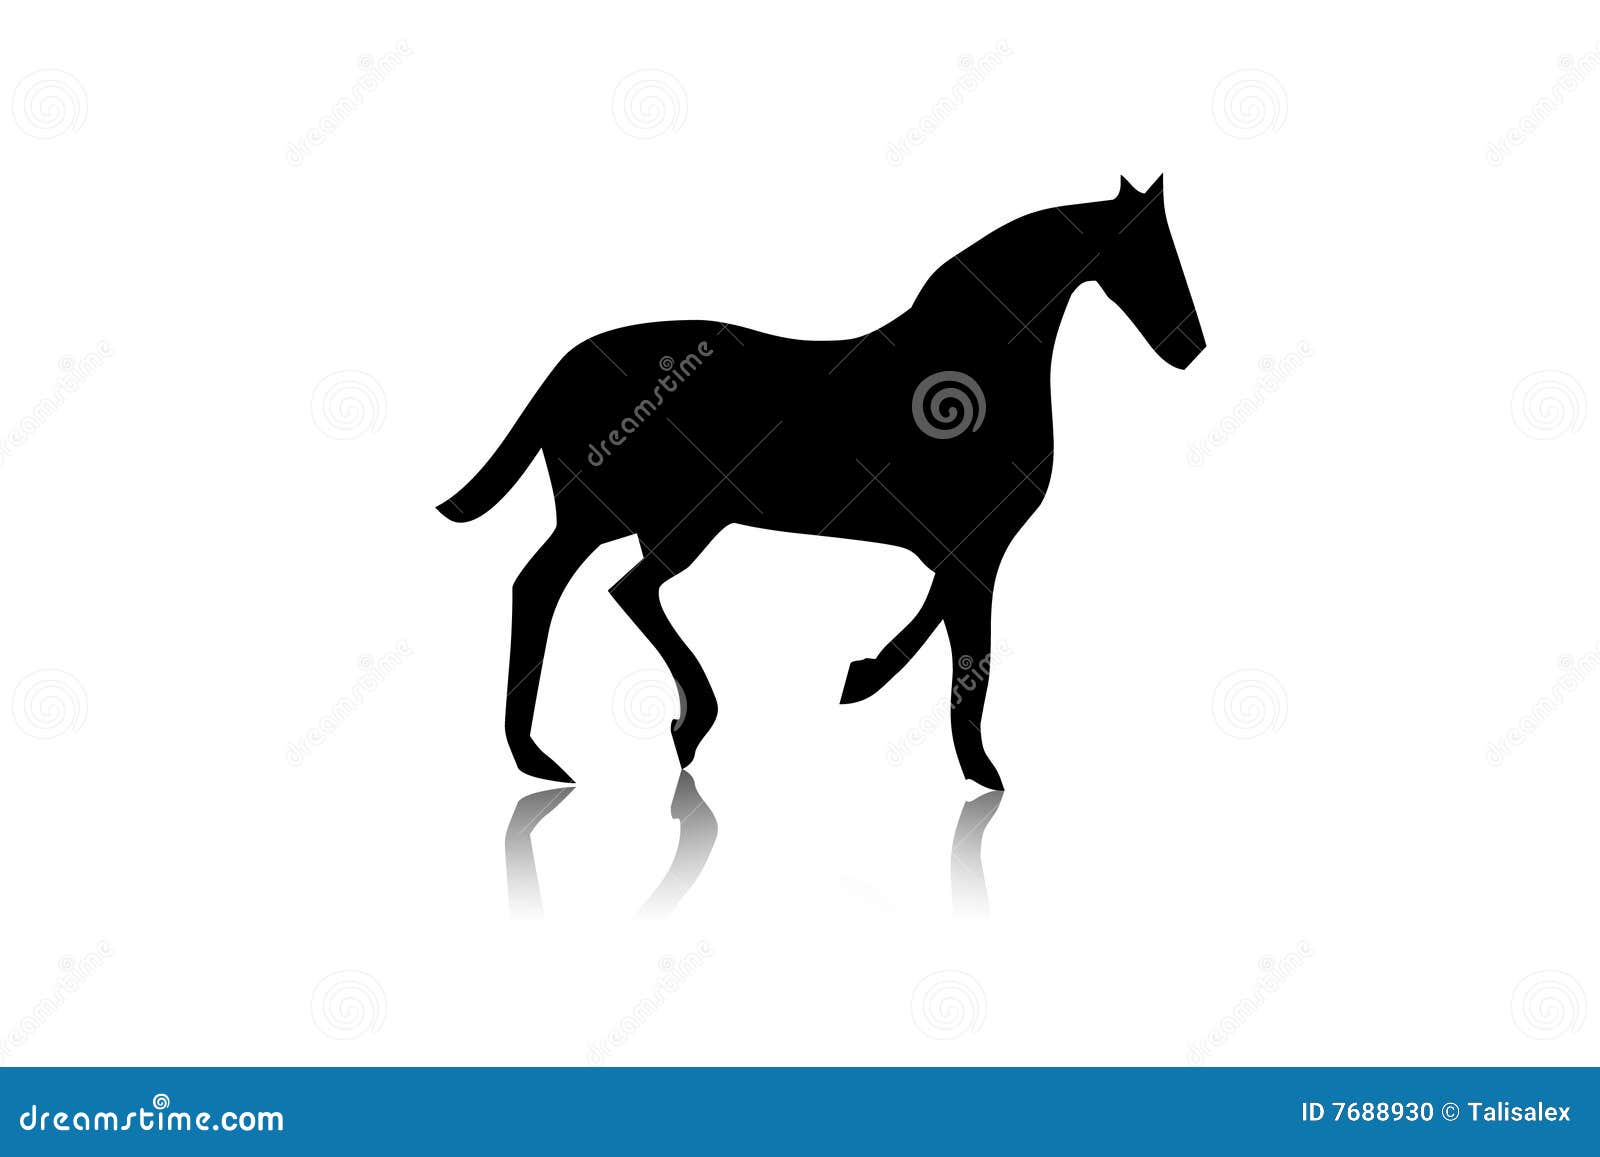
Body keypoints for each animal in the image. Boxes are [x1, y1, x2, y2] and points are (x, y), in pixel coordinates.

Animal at [439, 175, 1204, 791]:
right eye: (1152, 252)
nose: (1191, 346)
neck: (979, 359)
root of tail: (565, 369)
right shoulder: (977, 545)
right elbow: (971, 653)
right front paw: (982, 772)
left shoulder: (960, 544)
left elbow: (936, 617)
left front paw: (861, 677)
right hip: (648, 517)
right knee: (595, 589)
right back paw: (657, 732)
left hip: (630, 520)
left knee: (565, 587)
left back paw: (564, 751)